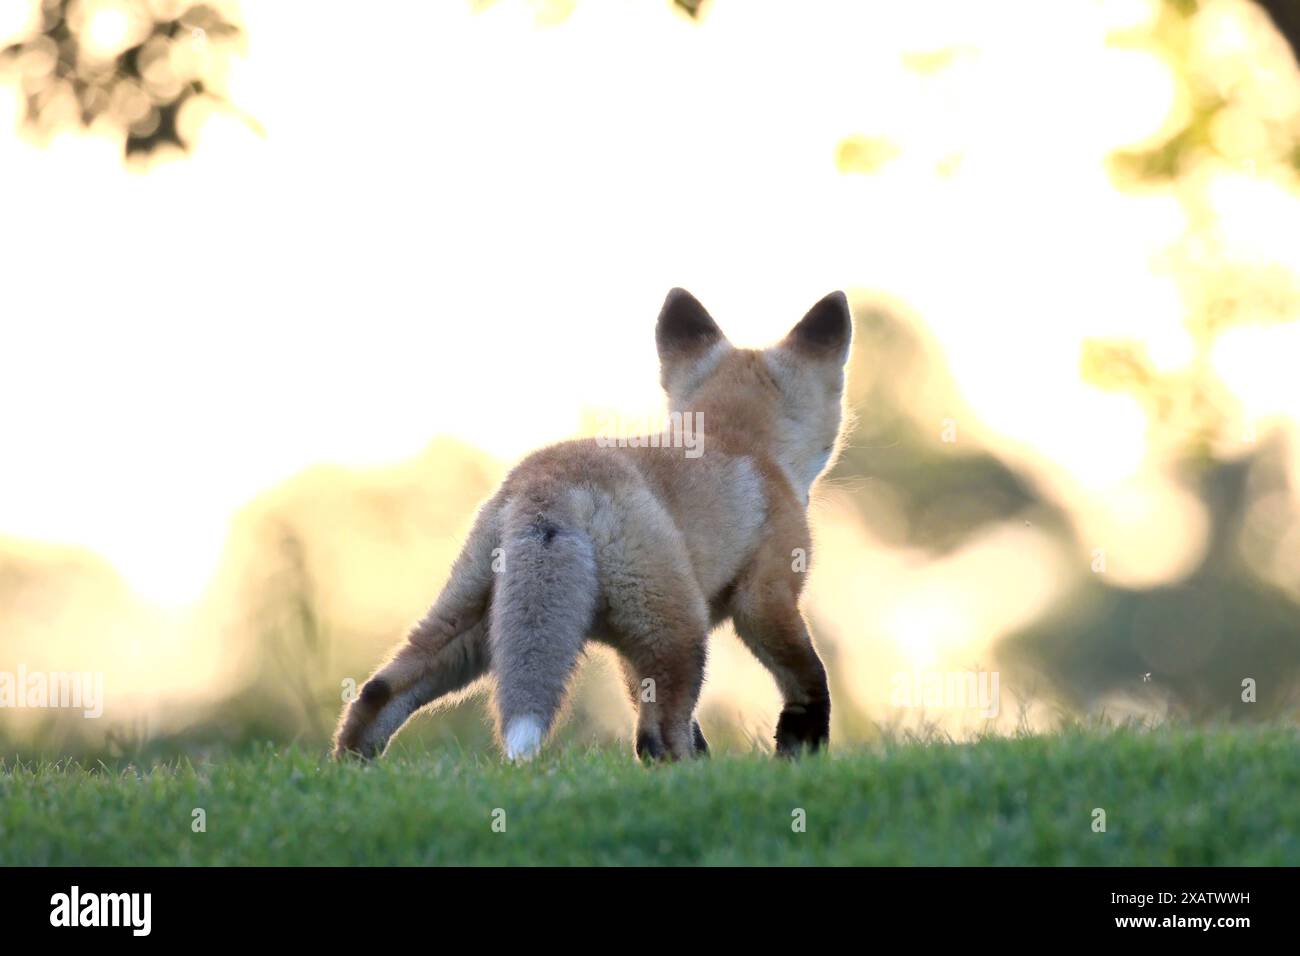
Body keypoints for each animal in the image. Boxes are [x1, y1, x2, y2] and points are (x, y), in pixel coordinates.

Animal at [333, 288, 852, 763]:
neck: (738, 440)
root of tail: (548, 483)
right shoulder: (766, 595)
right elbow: (809, 678)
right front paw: (801, 745)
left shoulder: (627, 650)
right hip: (678, 633)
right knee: (658, 736)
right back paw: (692, 779)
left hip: (471, 627)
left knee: (377, 693)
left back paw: (350, 771)